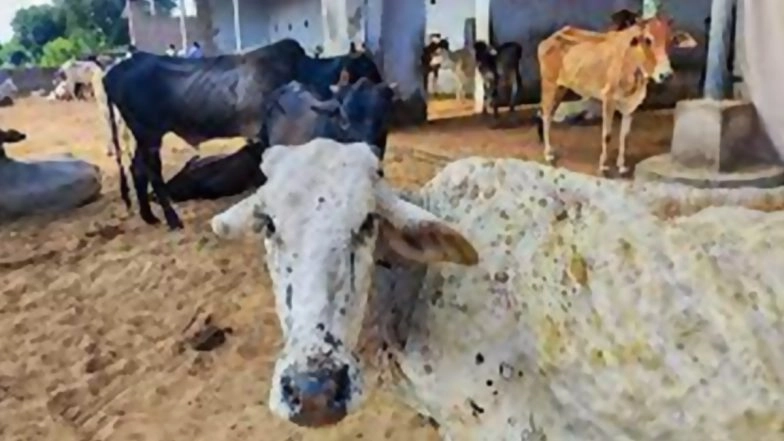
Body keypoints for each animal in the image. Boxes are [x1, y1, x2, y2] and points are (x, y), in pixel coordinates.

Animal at [537, 14, 697, 176]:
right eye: (647, 40)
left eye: (671, 40)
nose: (666, 75)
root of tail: (551, 38)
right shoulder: (608, 99)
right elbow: (607, 134)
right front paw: (603, 166)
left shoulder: (631, 104)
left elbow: (624, 135)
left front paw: (621, 166)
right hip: (549, 85)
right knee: (546, 115)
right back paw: (548, 153)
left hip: (561, 88)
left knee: (547, 114)